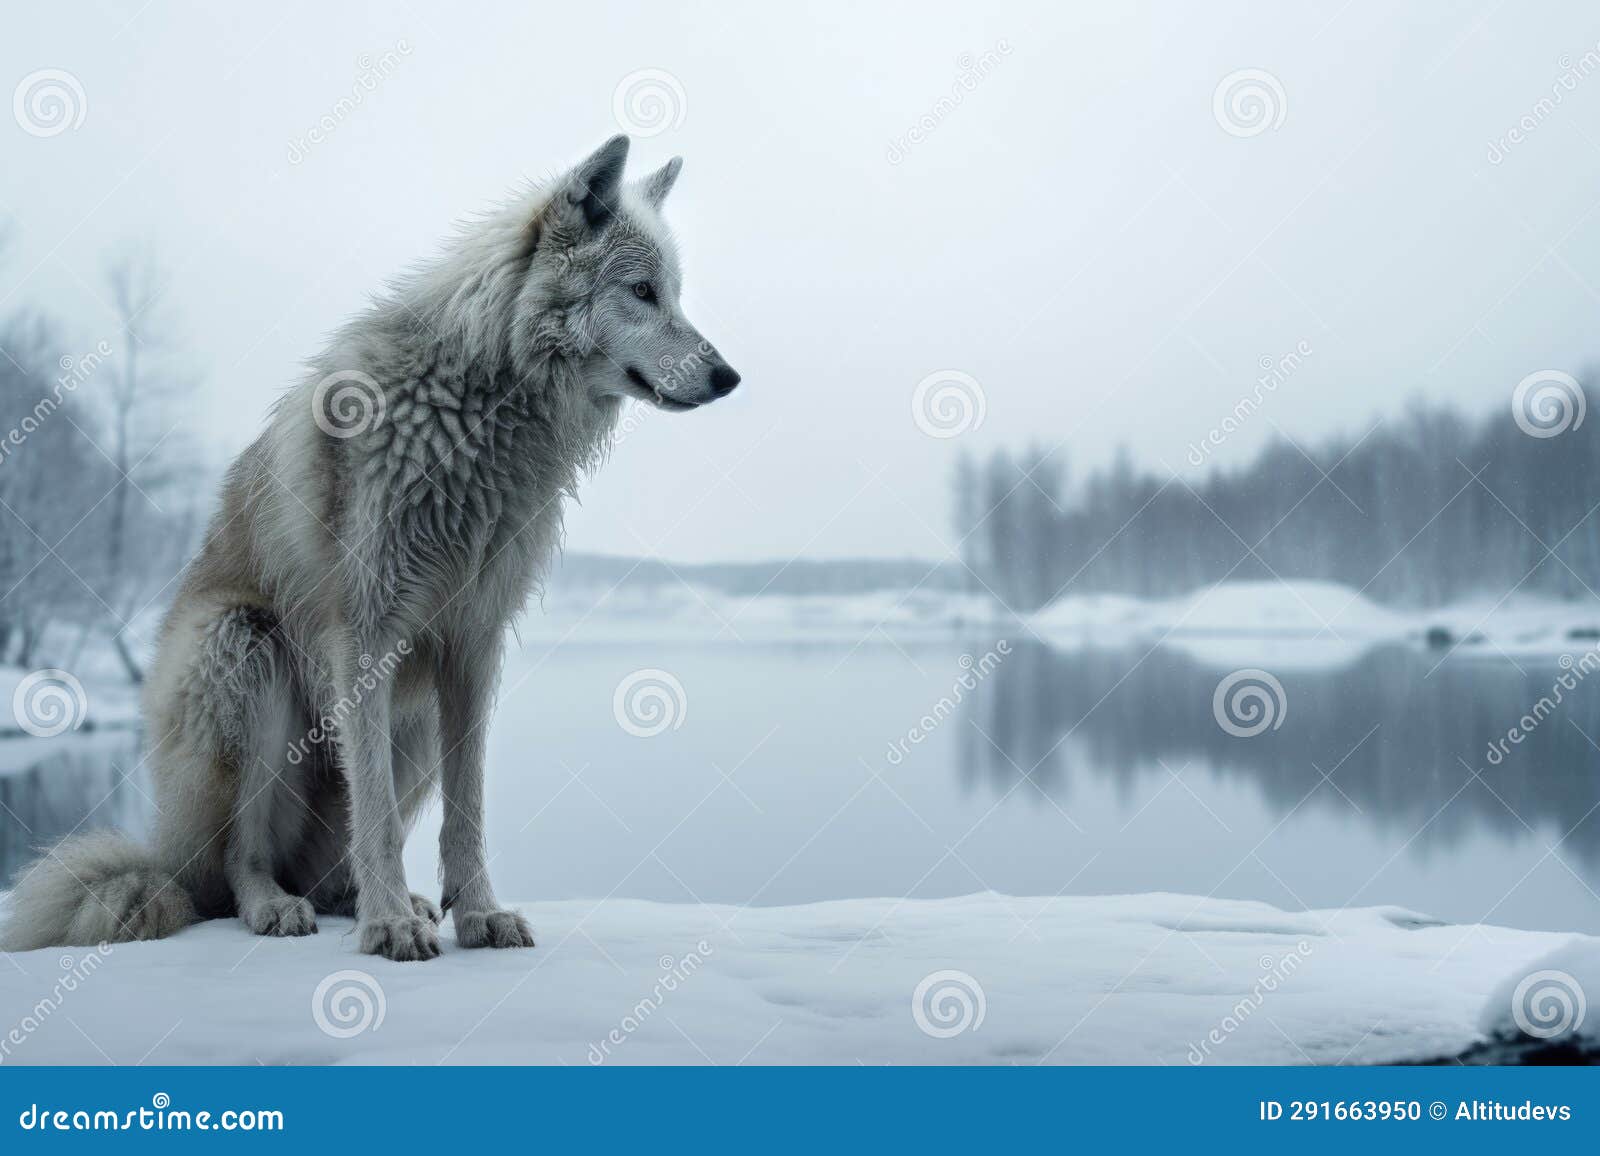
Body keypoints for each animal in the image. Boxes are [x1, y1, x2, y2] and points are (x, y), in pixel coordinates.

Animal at [0, 135, 740, 961]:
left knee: (327, 863)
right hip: (244, 653)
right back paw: (282, 906)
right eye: (642, 291)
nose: (728, 375)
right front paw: (386, 928)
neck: (477, 412)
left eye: (674, 294)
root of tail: (164, 854)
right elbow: (378, 817)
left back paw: (364, 901)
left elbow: (466, 811)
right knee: (239, 862)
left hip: (412, 720)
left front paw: (476, 915)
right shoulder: (365, 636)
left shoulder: (472, 646)